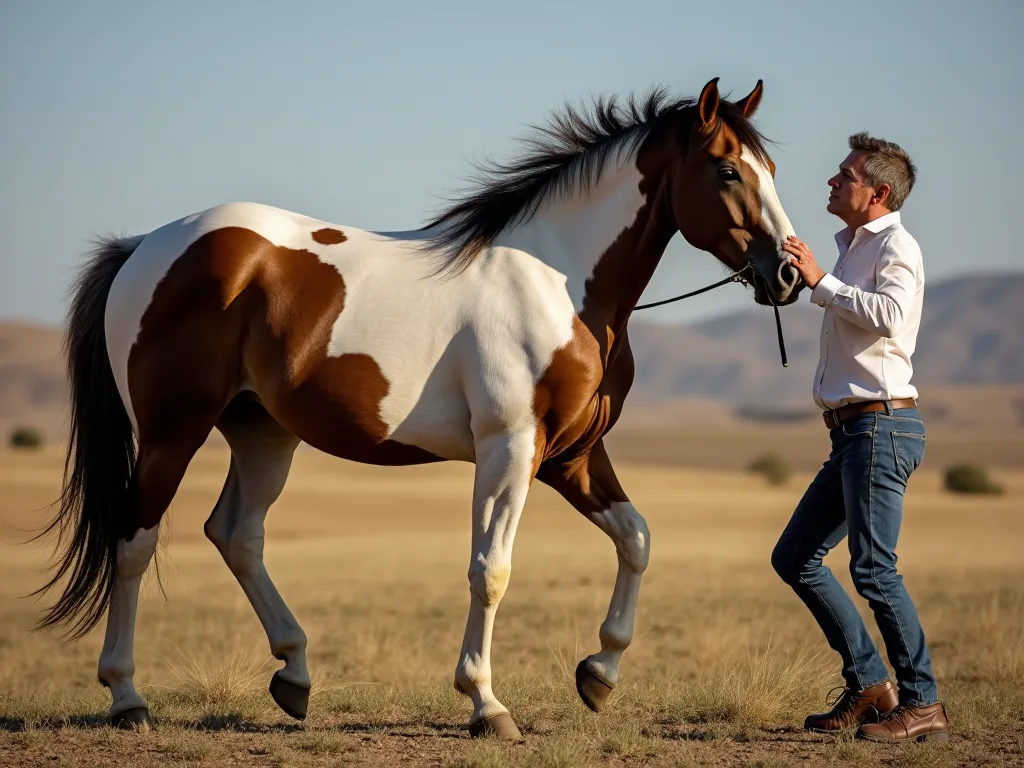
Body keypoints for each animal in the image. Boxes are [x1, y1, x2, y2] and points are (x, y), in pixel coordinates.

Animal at [36, 77, 802, 738]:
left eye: (770, 168)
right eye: (728, 171)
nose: (789, 272)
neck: (560, 284)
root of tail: (145, 246)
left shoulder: (572, 456)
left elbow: (635, 539)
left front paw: (599, 673)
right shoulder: (509, 448)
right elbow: (491, 570)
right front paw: (486, 704)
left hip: (262, 433)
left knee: (236, 534)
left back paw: (295, 675)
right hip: (172, 431)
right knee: (134, 542)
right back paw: (128, 697)